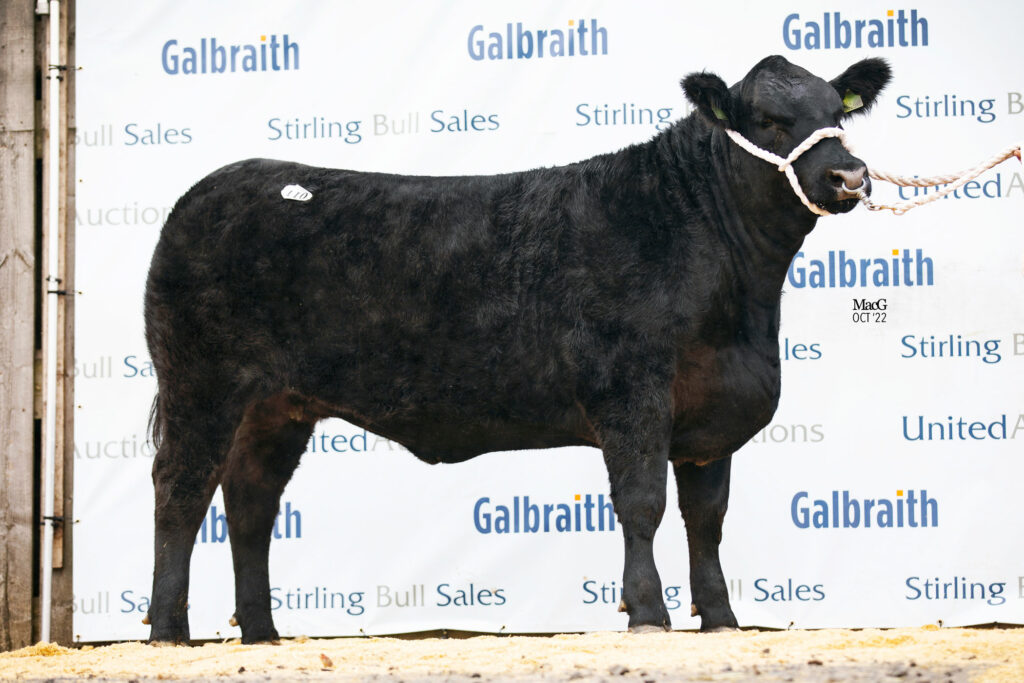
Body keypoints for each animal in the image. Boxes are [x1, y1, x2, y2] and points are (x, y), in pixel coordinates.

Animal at [144, 55, 891, 643]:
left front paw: (722, 618)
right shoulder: (632, 392)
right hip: (200, 383)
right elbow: (642, 502)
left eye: (838, 113)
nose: (851, 177)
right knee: (181, 489)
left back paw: (262, 632)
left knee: (251, 500)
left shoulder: (711, 413)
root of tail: (210, 189)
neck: (742, 307)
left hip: (276, 406)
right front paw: (648, 612)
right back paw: (168, 628)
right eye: (767, 118)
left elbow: (706, 518)